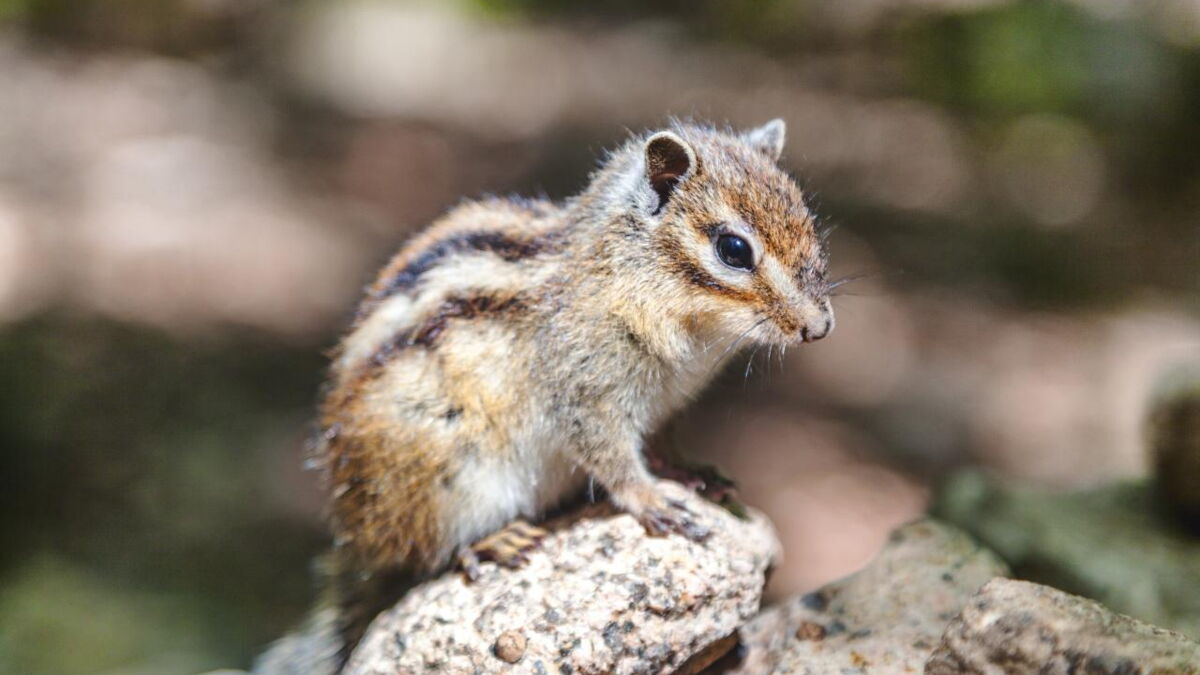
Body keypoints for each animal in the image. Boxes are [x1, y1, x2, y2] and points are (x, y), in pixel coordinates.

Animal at [256, 119, 834, 673]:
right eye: (733, 250)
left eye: (808, 220)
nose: (820, 327)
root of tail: (358, 537)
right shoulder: (582, 392)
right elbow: (611, 455)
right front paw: (650, 498)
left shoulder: (668, 404)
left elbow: (662, 442)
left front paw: (692, 472)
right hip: (436, 480)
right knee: (423, 552)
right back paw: (488, 543)